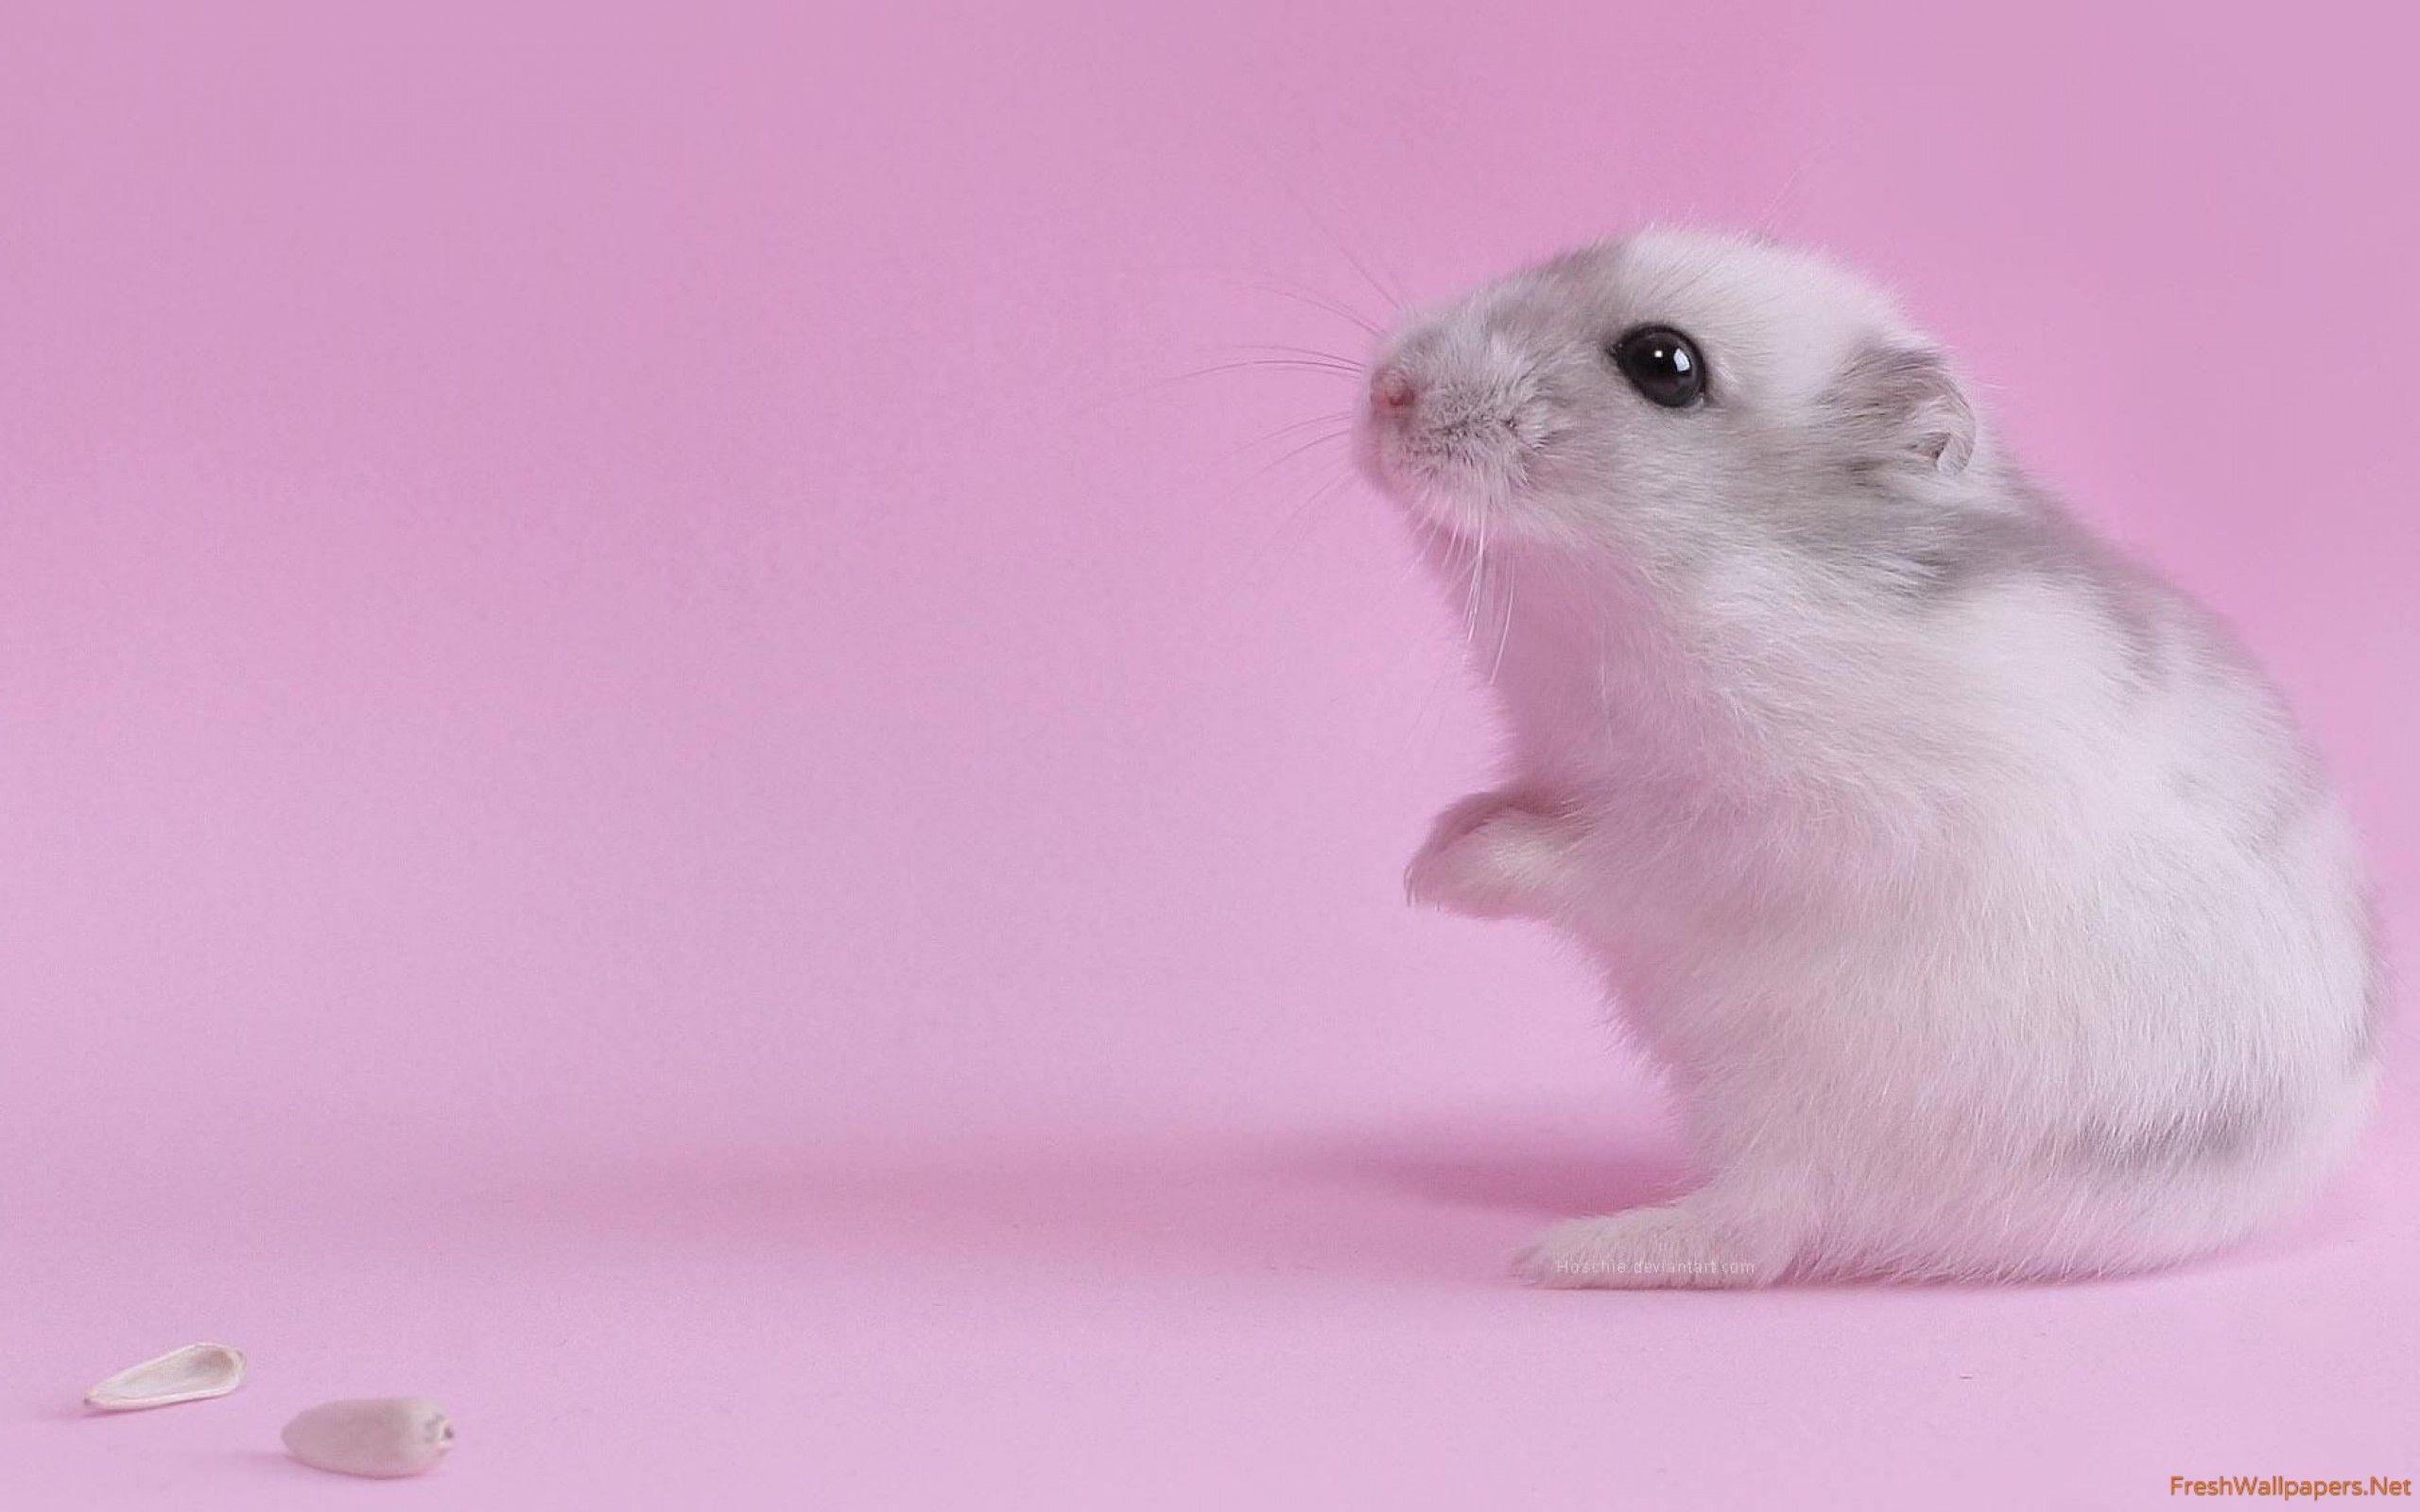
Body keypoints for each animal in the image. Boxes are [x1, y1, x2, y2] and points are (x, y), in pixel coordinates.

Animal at [1359, 229, 2382, 1286]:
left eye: (1663, 364)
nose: (1386, 388)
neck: (1709, 576)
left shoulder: (1750, 835)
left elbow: (1588, 856)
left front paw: (1435, 878)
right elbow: (1516, 800)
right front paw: (1429, 846)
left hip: (1808, 1117)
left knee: (1755, 1235)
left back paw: (1561, 1252)